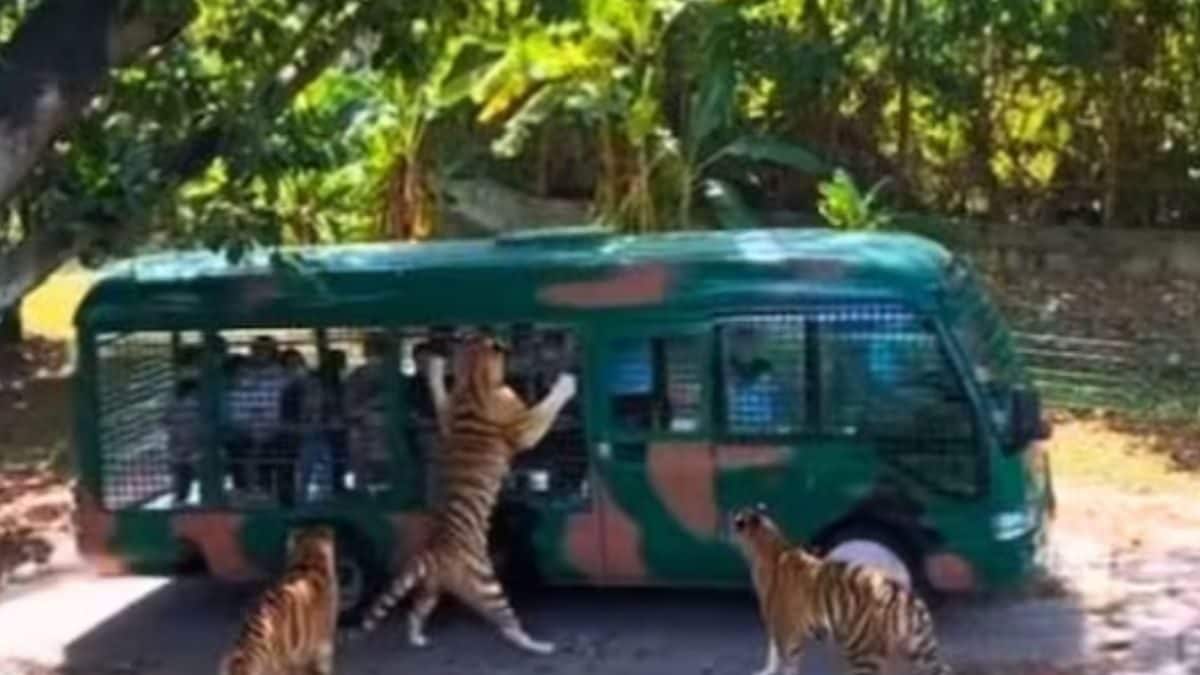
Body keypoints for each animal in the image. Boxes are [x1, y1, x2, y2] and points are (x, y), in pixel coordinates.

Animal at [355, 332, 577, 654]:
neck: (474, 379)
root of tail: (434, 552)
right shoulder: (521, 428)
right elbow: (543, 411)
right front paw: (566, 384)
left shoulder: (448, 416)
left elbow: (440, 399)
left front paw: (434, 369)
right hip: (489, 586)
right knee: (507, 624)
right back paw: (538, 645)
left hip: (431, 588)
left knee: (416, 612)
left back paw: (417, 638)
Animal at [728, 504, 952, 675]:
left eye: (735, 518)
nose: (727, 522)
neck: (771, 544)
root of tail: (903, 594)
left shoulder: (783, 627)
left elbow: (781, 656)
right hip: (917, 649)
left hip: (864, 651)